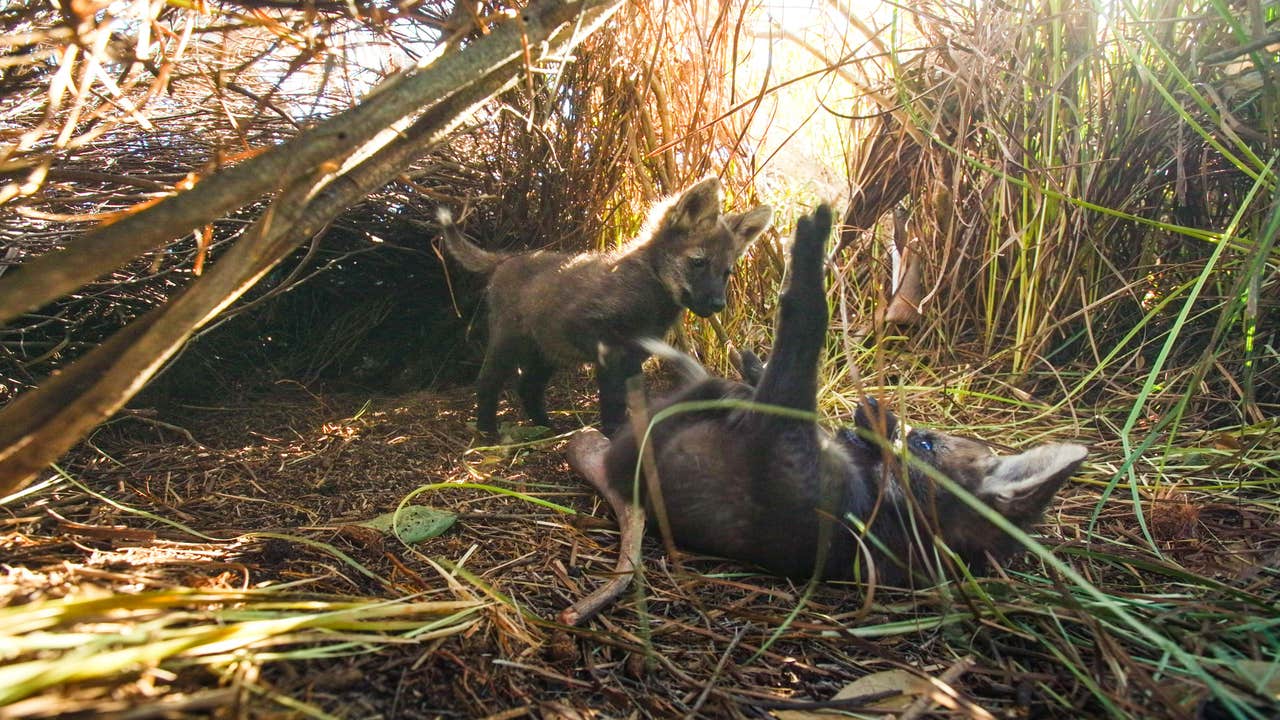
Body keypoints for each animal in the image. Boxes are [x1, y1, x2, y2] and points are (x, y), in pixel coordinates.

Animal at [438, 178, 771, 437]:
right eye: (698, 262)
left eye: (727, 272)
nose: (718, 304)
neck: (649, 291)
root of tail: (504, 258)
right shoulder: (596, 337)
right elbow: (612, 398)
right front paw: (613, 434)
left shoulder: (636, 355)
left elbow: (634, 401)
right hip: (509, 342)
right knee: (488, 383)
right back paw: (488, 434)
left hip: (547, 351)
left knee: (528, 388)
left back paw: (546, 428)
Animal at [578, 205, 1087, 585]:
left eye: (923, 444)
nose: (871, 411)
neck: (880, 510)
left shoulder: (780, 421)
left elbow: (807, 318)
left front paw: (810, 245)